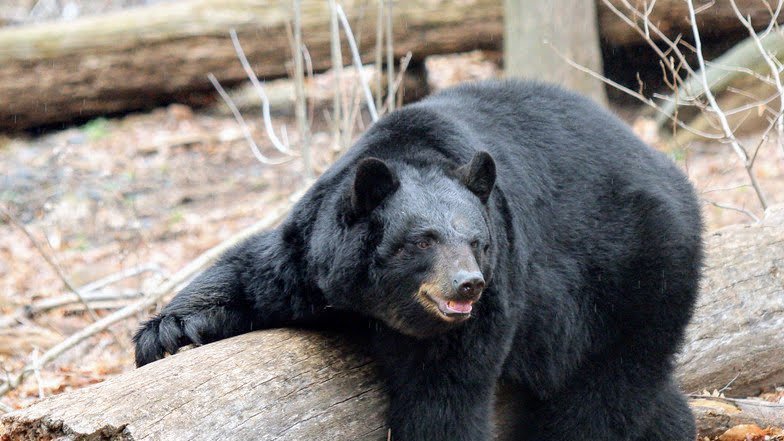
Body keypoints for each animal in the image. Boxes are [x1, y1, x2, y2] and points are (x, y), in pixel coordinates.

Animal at [134, 80, 702, 441]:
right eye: (422, 241)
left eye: (477, 242)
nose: (468, 284)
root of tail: (671, 172)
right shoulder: (315, 256)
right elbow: (256, 273)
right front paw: (166, 333)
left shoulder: (491, 301)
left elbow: (444, 396)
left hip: (638, 273)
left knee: (604, 393)